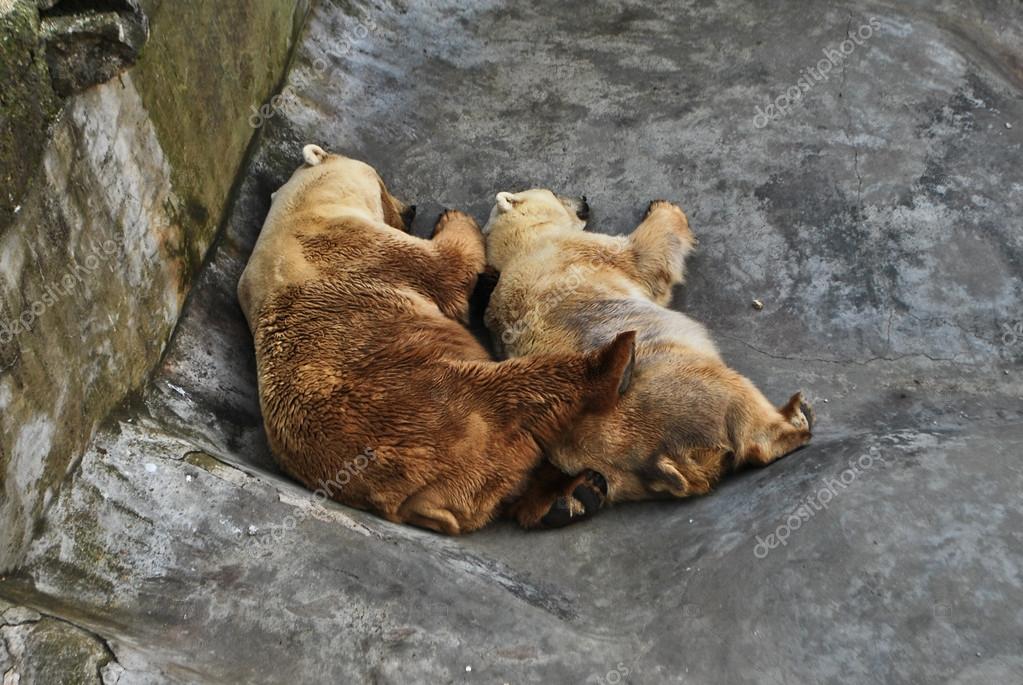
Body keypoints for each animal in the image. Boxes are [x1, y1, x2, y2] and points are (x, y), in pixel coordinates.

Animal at [237, 147, 637, 534]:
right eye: (383, 183)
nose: (411, 208)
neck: (303, 209)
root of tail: (412, 497)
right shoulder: (356, 247)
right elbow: (447, 265)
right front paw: (452, 217)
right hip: (441, 405)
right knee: (517, 388)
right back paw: (616, 362)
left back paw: (574, 496)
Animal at [482, 189, 814, 504]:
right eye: (554, 191)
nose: (583, 198)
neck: (521, 247)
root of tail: (654, 459)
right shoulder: (583, 250)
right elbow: (644, 256)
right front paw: (662, 206)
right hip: (674, 386)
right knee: (736, 400)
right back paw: (795, 418)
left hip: (623, 478)